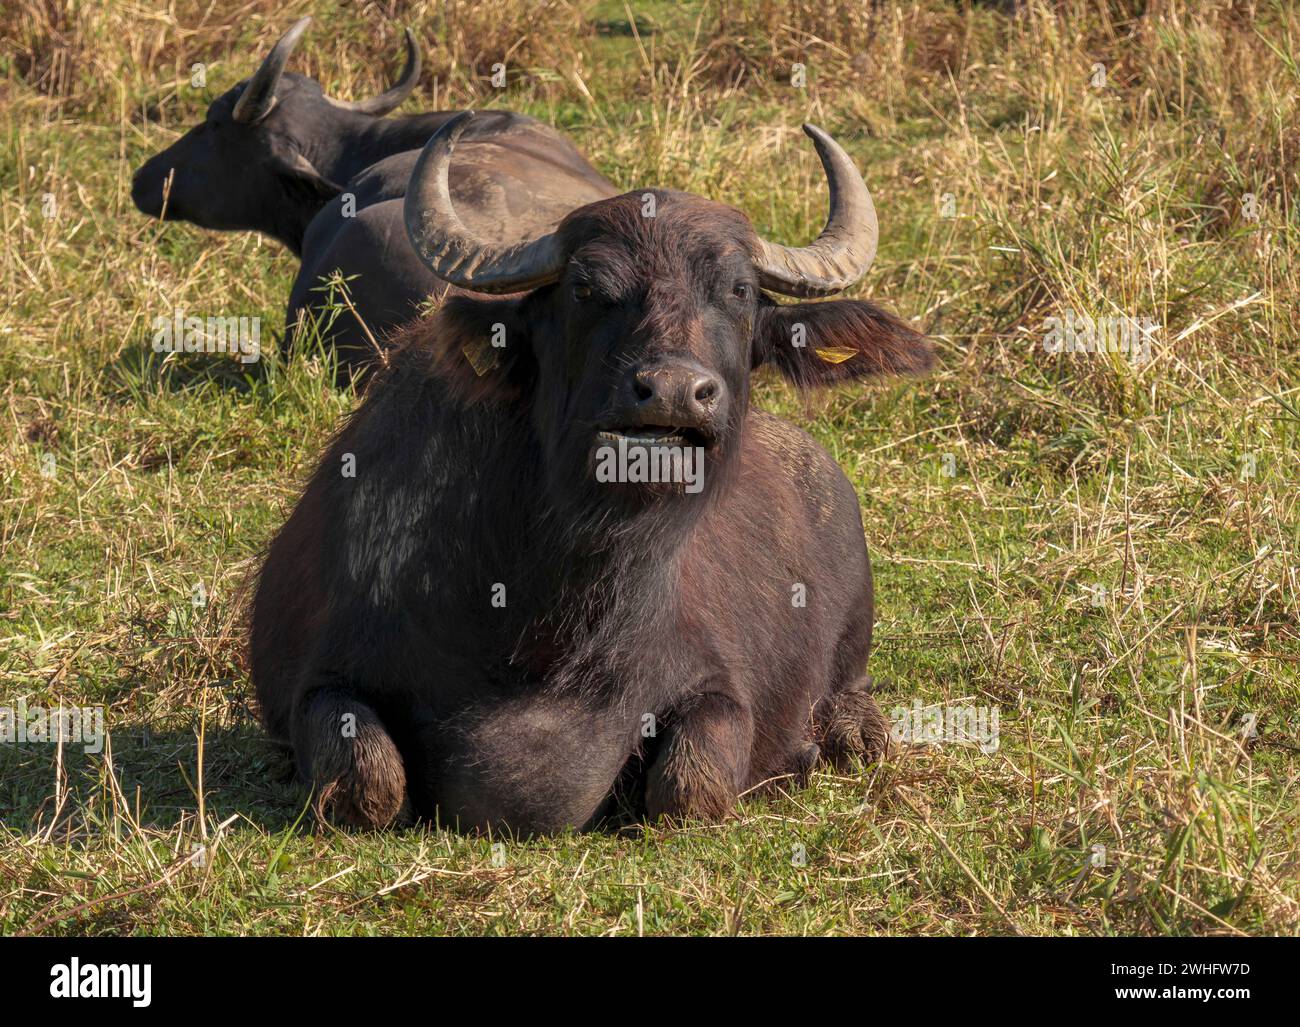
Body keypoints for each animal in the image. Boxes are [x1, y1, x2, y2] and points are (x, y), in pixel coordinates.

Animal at [250, 113, 933, 834]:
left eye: (740, 291)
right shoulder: (322, 675)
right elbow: (369, 784)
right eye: (586, 289)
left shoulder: (719, 686)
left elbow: (690, 788)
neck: (555, 619)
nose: (674, 391)